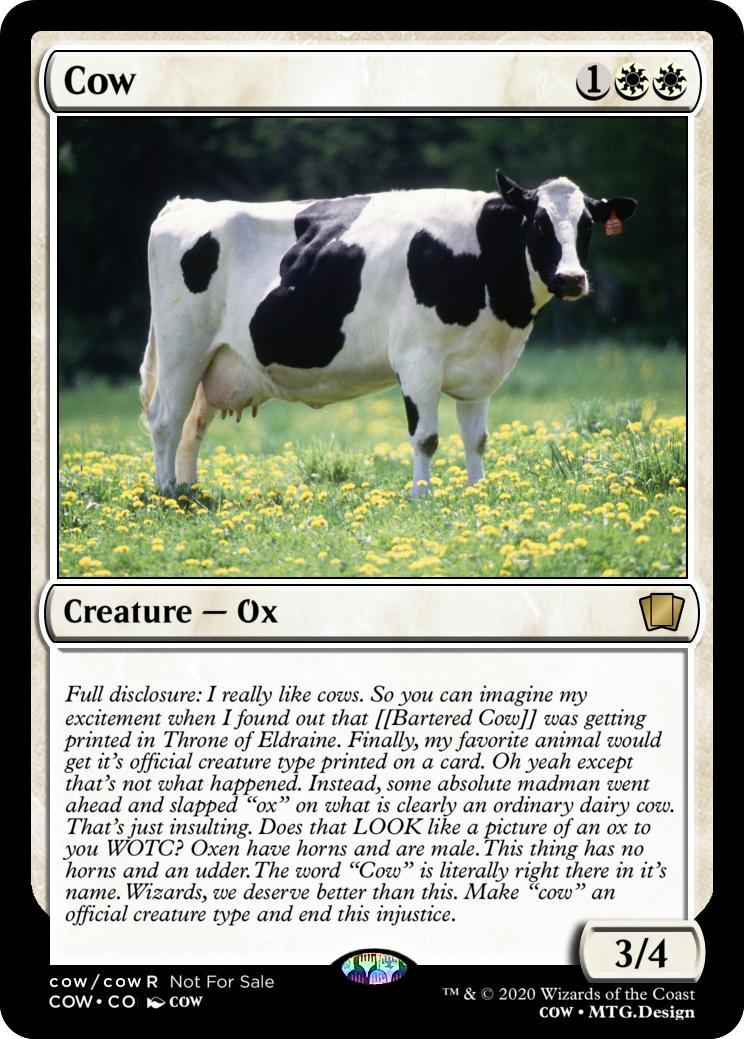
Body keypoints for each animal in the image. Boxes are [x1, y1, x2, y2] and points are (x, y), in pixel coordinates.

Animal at [139, 171, 637, 498]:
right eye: (538, 223)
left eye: (587, 225)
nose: (571, 279)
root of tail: (184, 204)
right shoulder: (418, 359)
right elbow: (427, 437)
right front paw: (421, 496)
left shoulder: (480, 371)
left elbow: (476, 438)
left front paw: (477, 492)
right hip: (182, 348)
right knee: (165, 419)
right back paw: (167, 493)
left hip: (214, 360)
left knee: (192, 426)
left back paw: (190, 490)